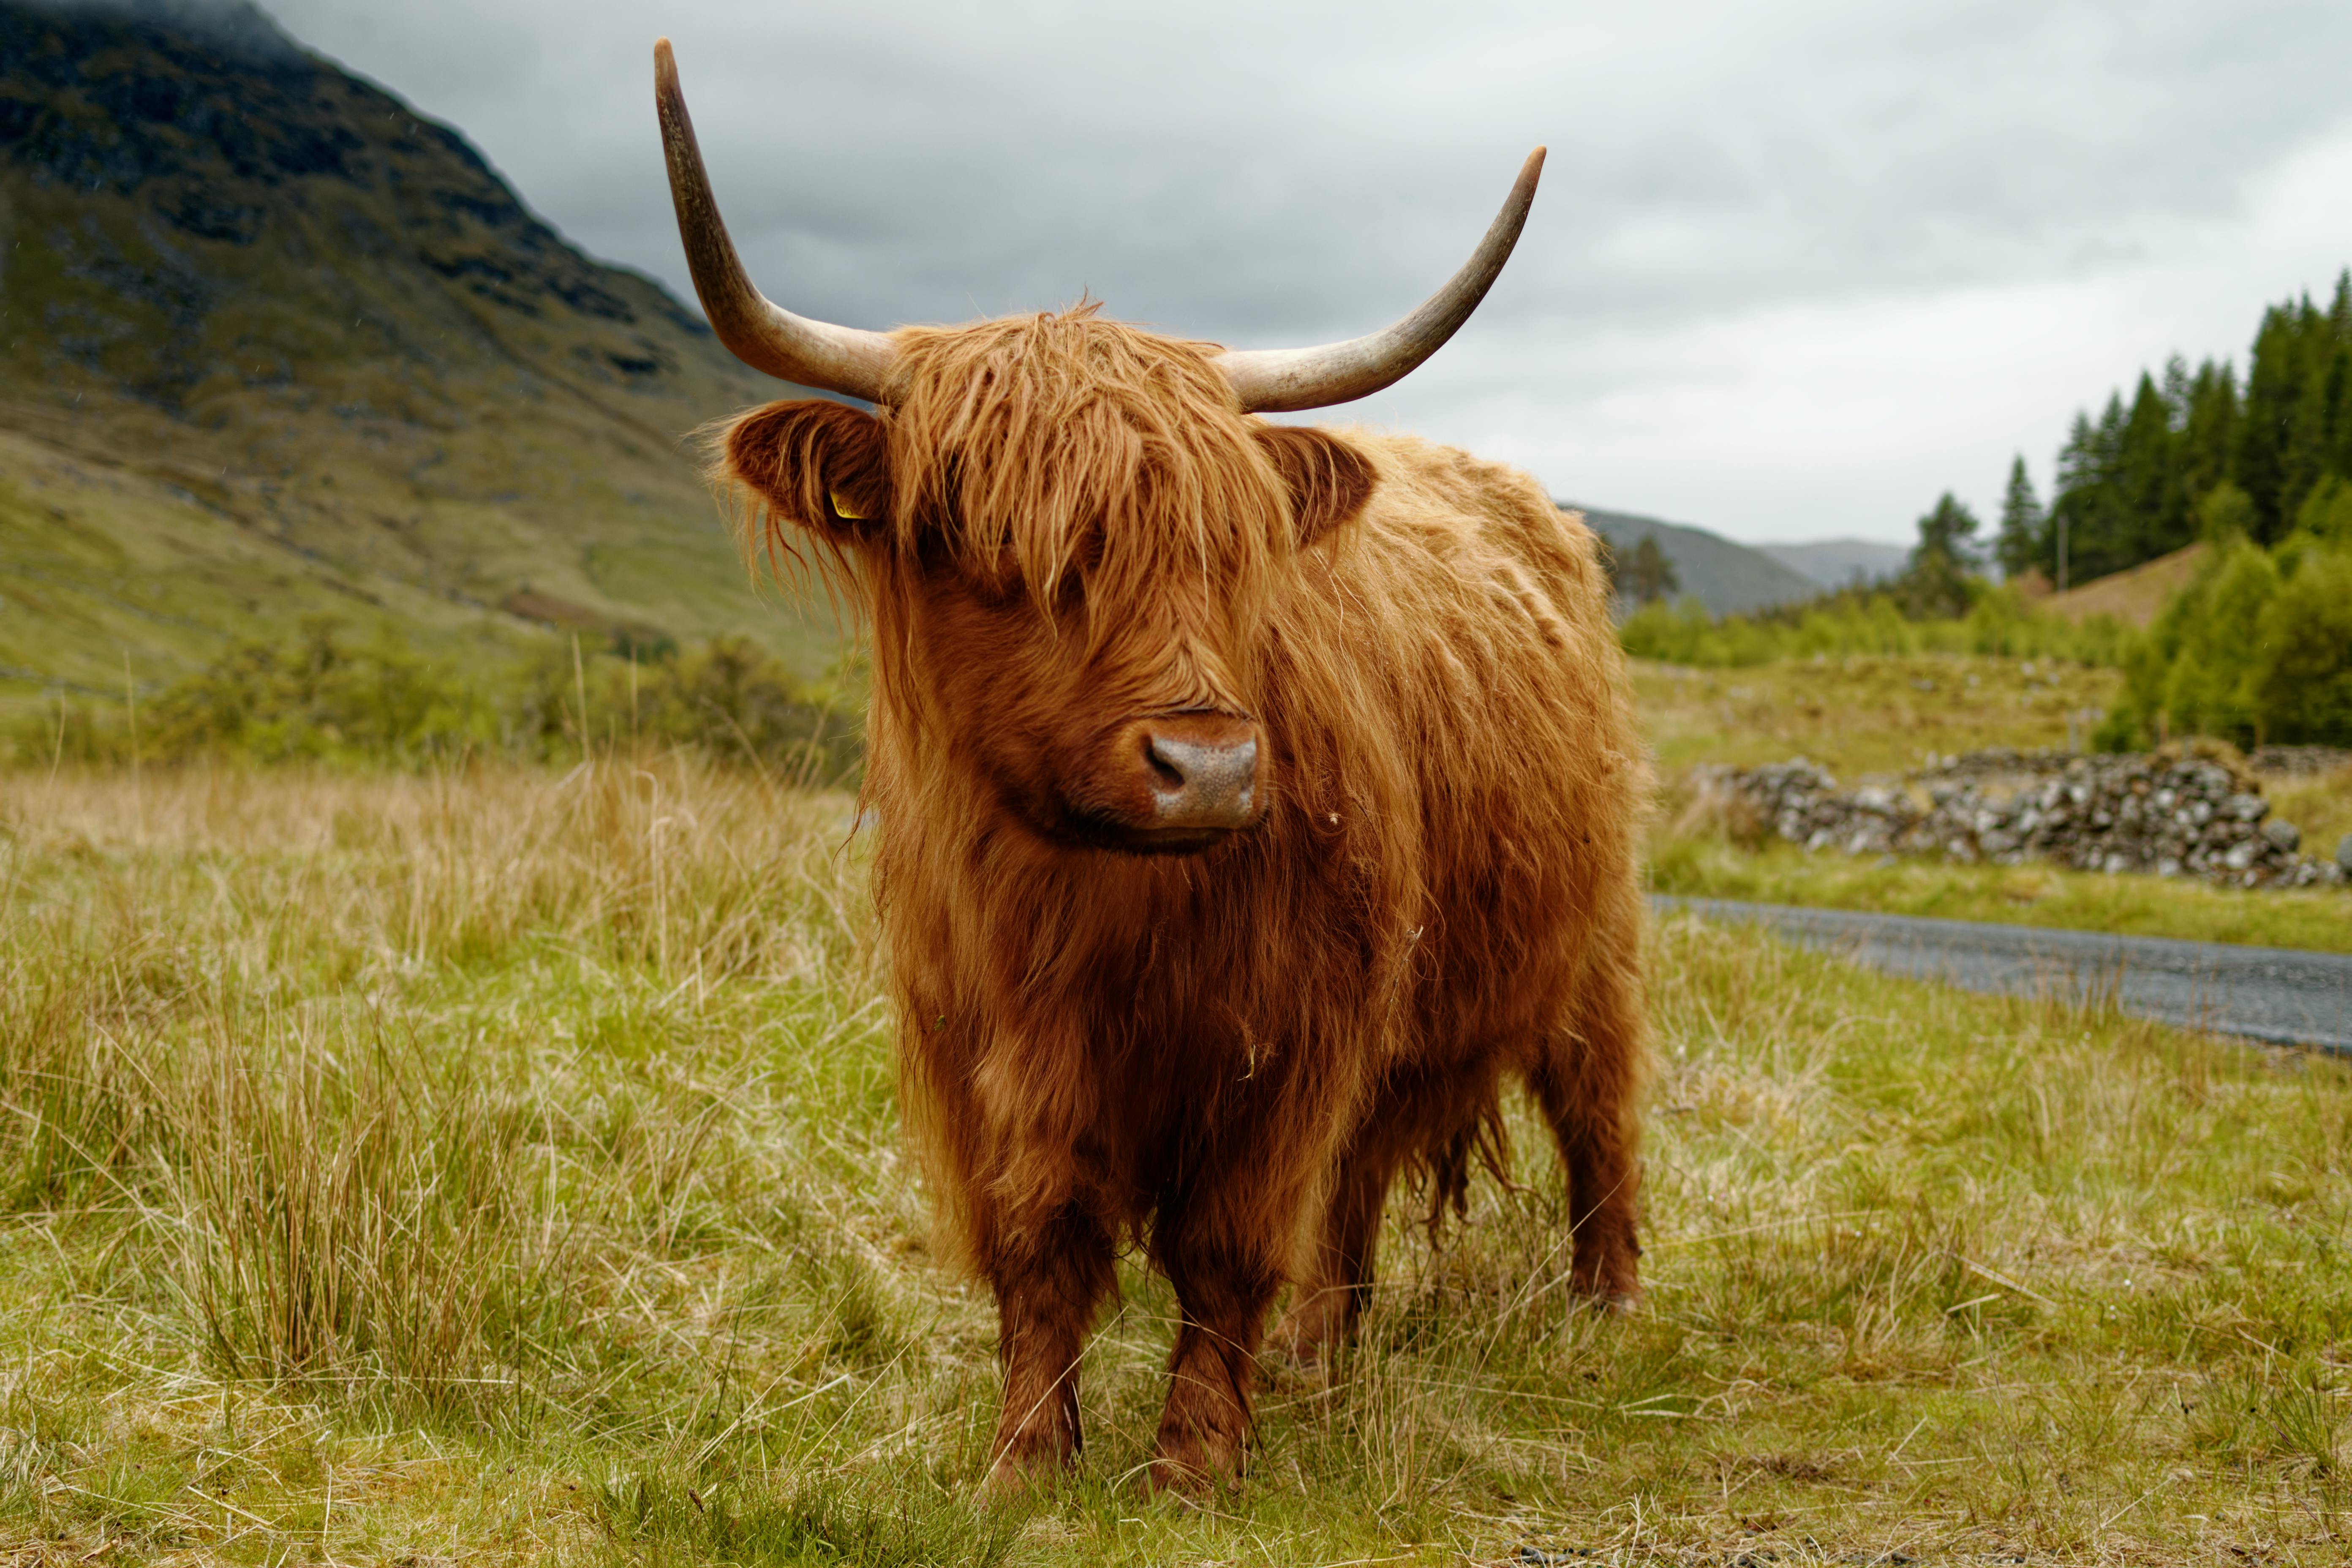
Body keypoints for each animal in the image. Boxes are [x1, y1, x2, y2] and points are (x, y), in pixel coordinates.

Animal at [653, 39, 1650, 1494]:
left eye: (1229, 543)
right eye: (983, 538)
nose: (1212, 768)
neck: (1100, 910)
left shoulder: (1292, 1029)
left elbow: (1227, 1241)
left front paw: (1191, 1465)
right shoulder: (986, 1041)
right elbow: (1041, 1239)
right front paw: (1027, 1459)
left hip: (1594, 934)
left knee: (1596, 1102)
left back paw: (1603, 1304)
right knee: (1357, 1182)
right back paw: (1316, 1351)